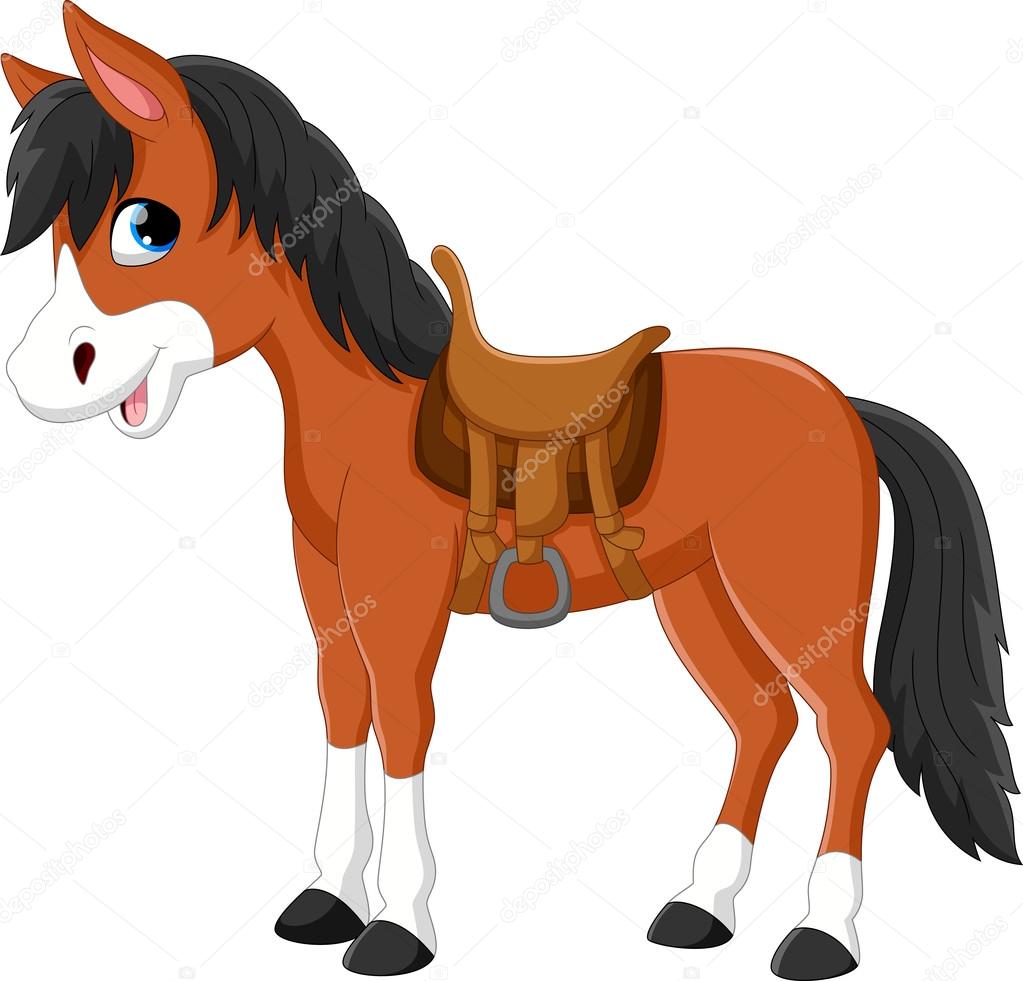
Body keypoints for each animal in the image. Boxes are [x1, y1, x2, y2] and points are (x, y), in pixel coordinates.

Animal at [2, 6, 1017, 979]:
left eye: (148, 226)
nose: (39, 377)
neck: (368, 410)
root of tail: (842, 405)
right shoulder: (329, 586)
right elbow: (343, 708)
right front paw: (327, 900)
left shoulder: (400, 594)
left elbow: (403, 719)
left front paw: (396, 928)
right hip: (697, 590)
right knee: (760, 720)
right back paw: (700, 908)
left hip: (791, 592)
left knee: (850, 725)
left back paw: (821, 936)